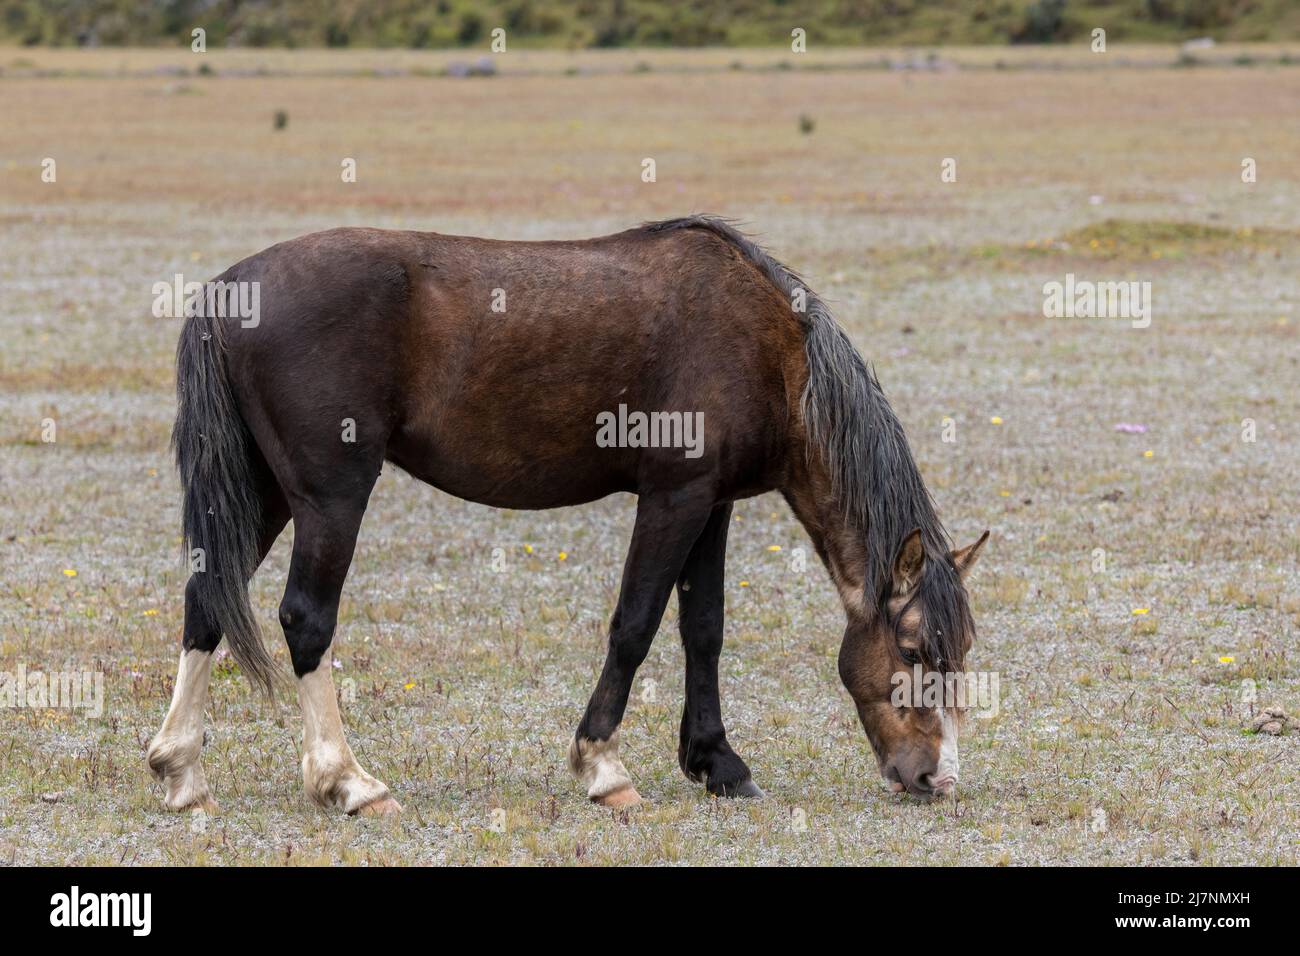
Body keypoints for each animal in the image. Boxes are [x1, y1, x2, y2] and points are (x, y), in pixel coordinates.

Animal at [146, 215, 988, 815]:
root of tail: (230, 289)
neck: (768, 348)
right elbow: (636, 626)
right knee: (305, 620)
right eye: (915, 650)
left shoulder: (711, 505)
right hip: (330, 499)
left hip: (264, 493)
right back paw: (349, 782)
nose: (934, 778)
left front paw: (717, 762)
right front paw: (602, 765)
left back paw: (180, 770)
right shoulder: (674, 498)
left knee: (206, 602)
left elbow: (703, 631)